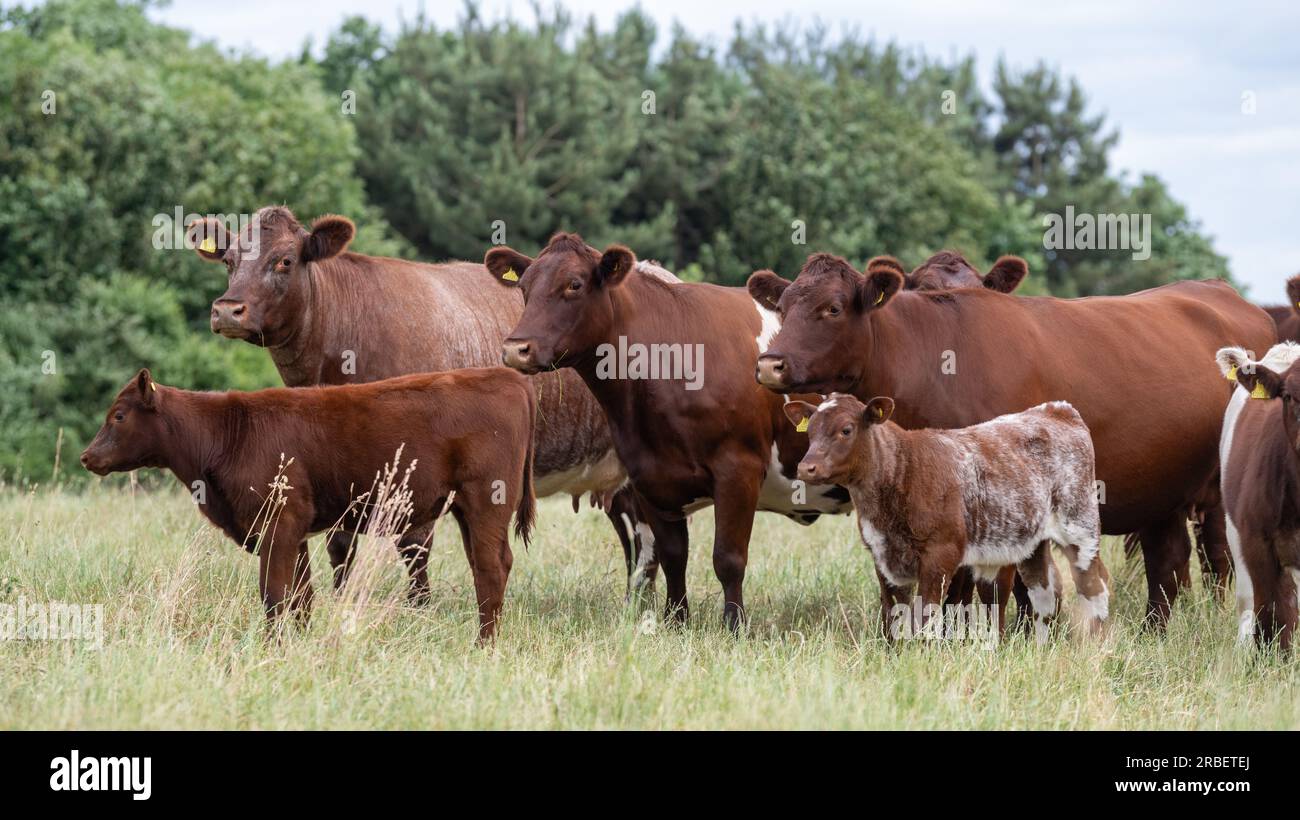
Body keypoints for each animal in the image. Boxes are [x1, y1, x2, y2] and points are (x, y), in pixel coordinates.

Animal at [80, 367, 535, 642]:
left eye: (118, 415)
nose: (86, 456)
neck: (229, 433)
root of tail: (505, 375)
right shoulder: (292, 531)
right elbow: (301, 596)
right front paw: (295, 641)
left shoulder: (280, 521)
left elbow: (274, 593)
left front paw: (273, 646)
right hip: (465, 509)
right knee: (485, 564)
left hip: (486, 500)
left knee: (491, 568)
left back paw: (484, 645)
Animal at [184, 207, 649, 600]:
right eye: (228, 261)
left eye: (283, 261)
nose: (227, 310)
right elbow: (340, 543)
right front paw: (339, 600)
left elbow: (414, 546)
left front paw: (419, 607)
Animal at [485, 233, 854, 631]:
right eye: (524, 287)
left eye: (574, 285)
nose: (516, 349)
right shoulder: (650, 476)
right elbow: (673, 555)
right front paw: (676, 621)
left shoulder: (738, 469)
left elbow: (728, 558)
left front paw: (734, 627)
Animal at [786, 394, 1108, 642]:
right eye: (810, 431)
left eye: (846, 429)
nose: (806, 467)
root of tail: (1058, 410)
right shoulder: (883, 555)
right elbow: (893, 614)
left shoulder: (941, 553)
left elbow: (927, 614)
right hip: (1031, 543)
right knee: (1043, 592)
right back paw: (1040, 649)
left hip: (1079, 525)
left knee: (1094, 584)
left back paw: (1095, 647)